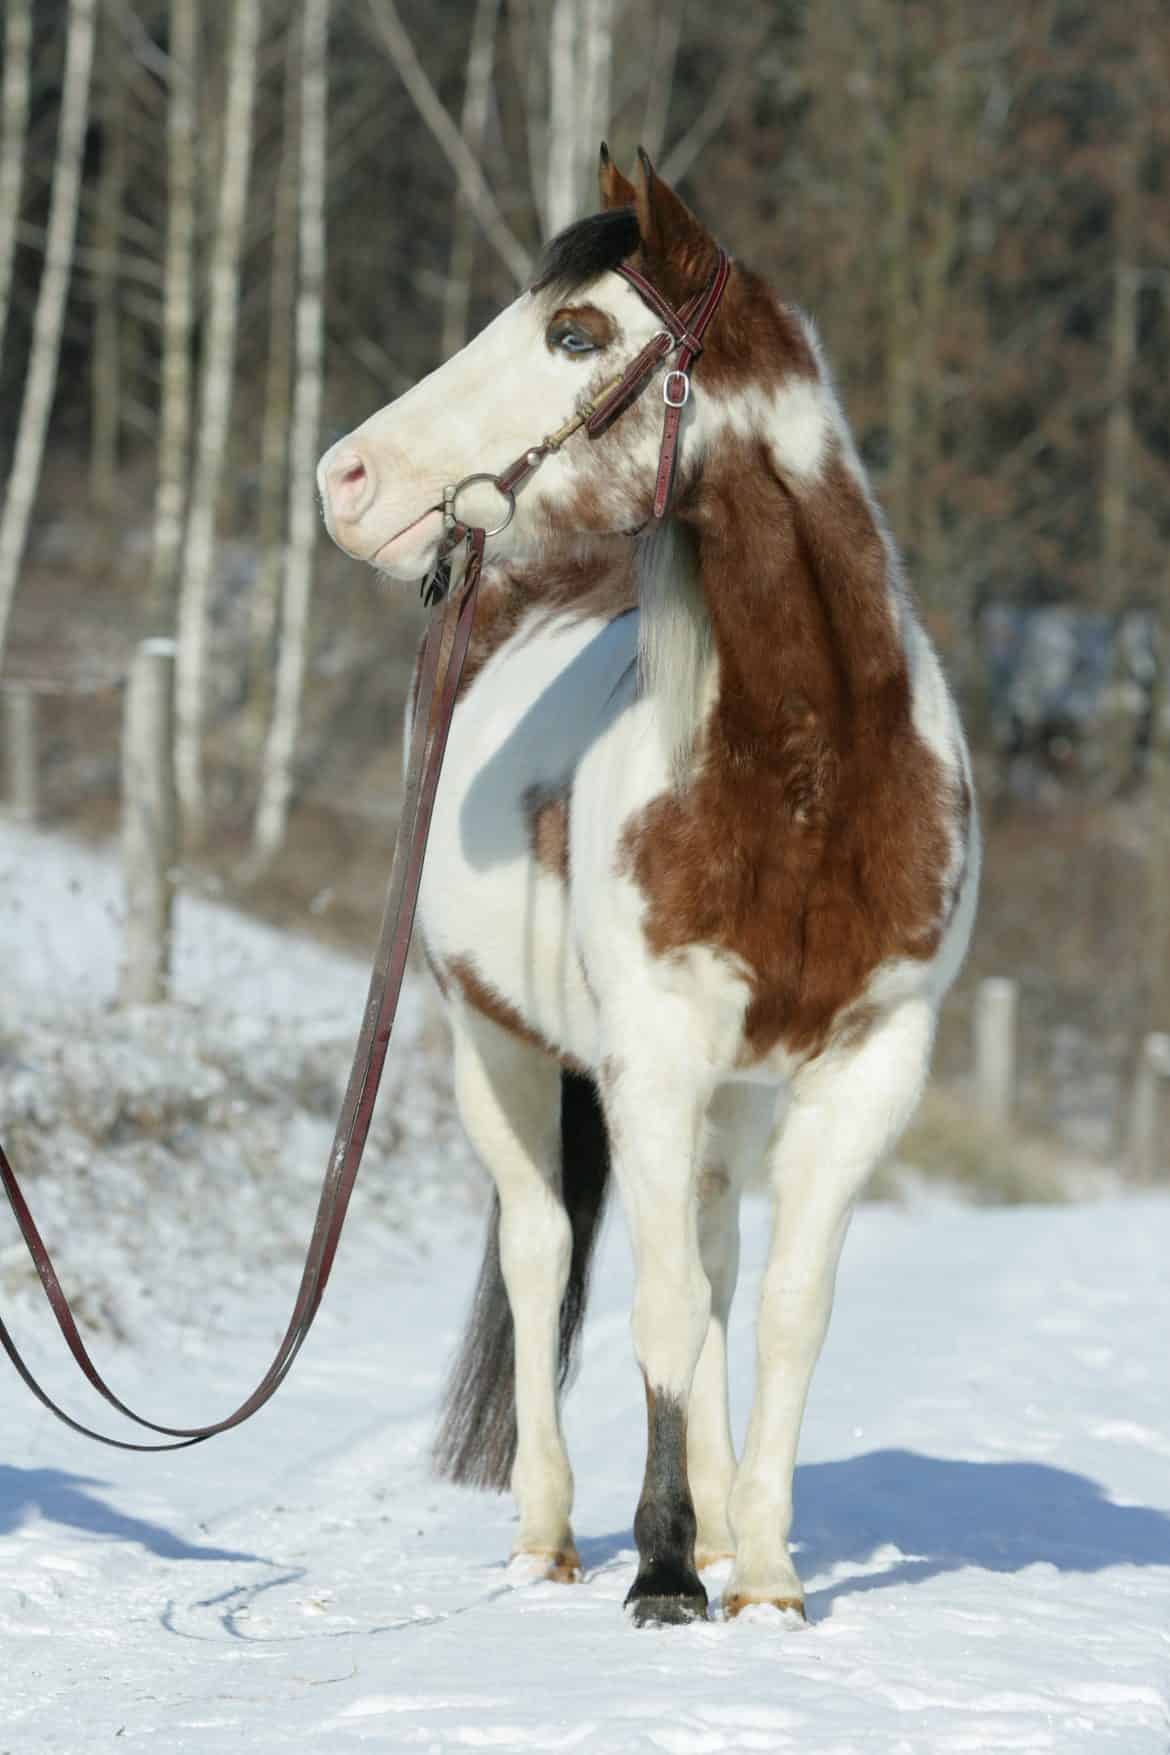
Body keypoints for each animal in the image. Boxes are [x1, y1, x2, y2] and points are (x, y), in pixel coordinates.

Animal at [317, 147, 979, 1627]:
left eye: (575, 334)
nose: (345, 476)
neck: (807, 775)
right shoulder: (651, 1062)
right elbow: (657, 1306)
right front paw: (667, 1569)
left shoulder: (861, 1068)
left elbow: (783, 1308)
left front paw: (767, 1574)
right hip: (496, 1049)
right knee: (544, 1252)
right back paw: (552, 1535)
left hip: (724, 1096)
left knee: (720, 1259)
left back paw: (729, 1527)